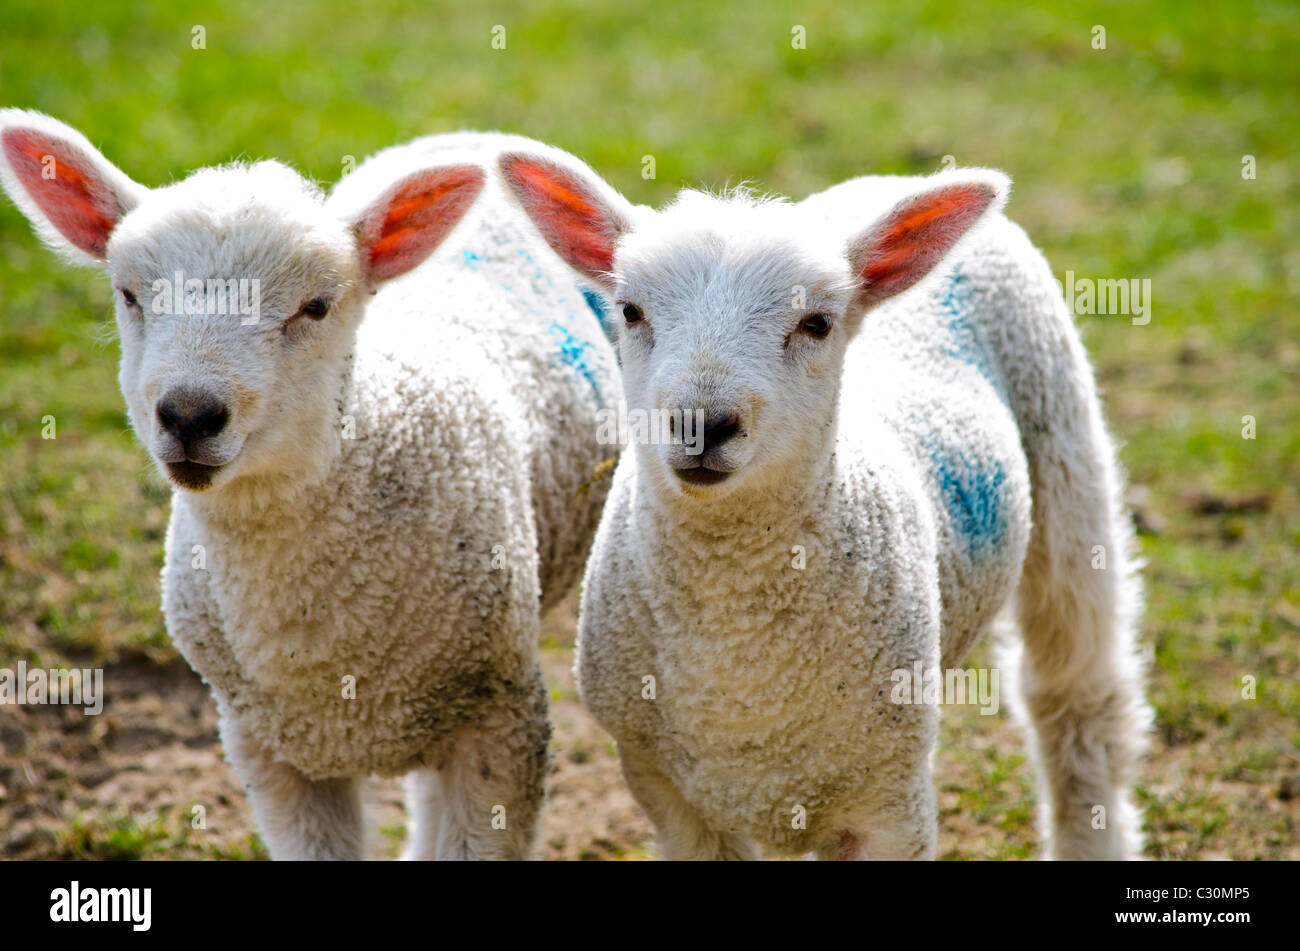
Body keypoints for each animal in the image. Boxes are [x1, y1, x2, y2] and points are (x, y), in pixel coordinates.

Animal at [0, 112, 621, 859]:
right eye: (128, 295)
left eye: (316, 306)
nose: (189, 414)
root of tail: (472, 133)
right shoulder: (265, 743)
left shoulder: (501, 717)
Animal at [498, 144, 1151, 860]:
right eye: (630, 312)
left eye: (816, 323)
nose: (703, 423)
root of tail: (885, 179)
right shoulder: (670, 795)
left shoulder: (890, 799)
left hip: (1064, 441)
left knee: (1075, 694)